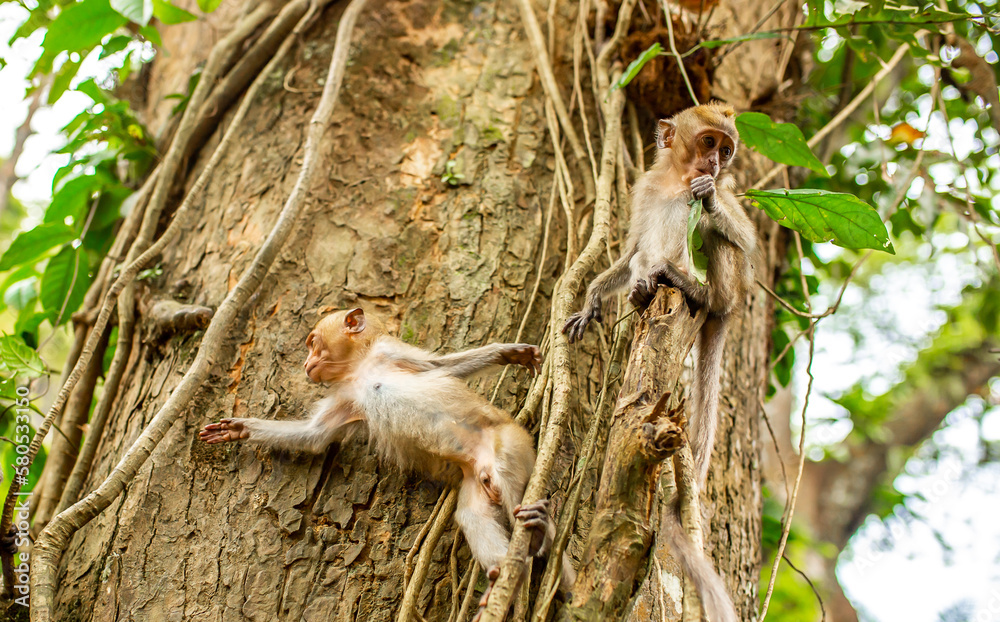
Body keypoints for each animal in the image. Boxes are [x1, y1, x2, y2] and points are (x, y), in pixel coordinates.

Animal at [200, 308, 575, 600]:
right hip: (475, 479)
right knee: (472, 516)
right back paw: (501, 574)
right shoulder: (349, 396)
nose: (307, 363)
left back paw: (540, 534)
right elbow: (315, 435)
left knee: (511, 484)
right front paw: (240, 429)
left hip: (510, 441)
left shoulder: (388, 351)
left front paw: (505, 353)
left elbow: (442, 366)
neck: (360, 368)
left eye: (313, 344)